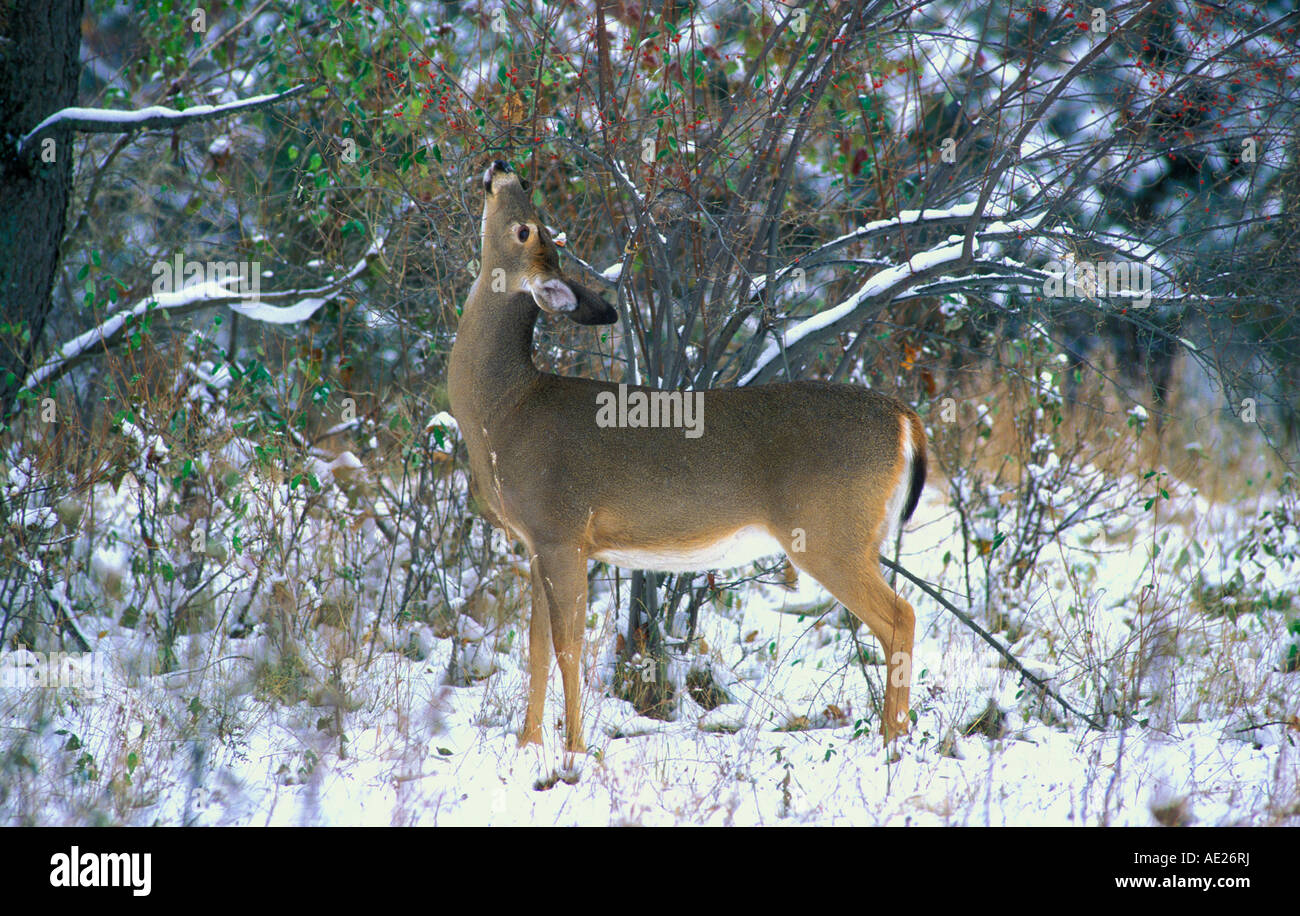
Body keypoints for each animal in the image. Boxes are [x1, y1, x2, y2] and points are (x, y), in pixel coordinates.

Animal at [448, 160, 926, 753]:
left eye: (525, 229)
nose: (503, 168)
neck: (504, 410)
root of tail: (905, 418)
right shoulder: (536, 543)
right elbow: (535, 650)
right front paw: (529, 746)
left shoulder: (562, 530)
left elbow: (567, 647)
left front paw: (575, 748)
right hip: (860, 536)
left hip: (830, 532)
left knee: (901, 616)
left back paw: (892, 744)